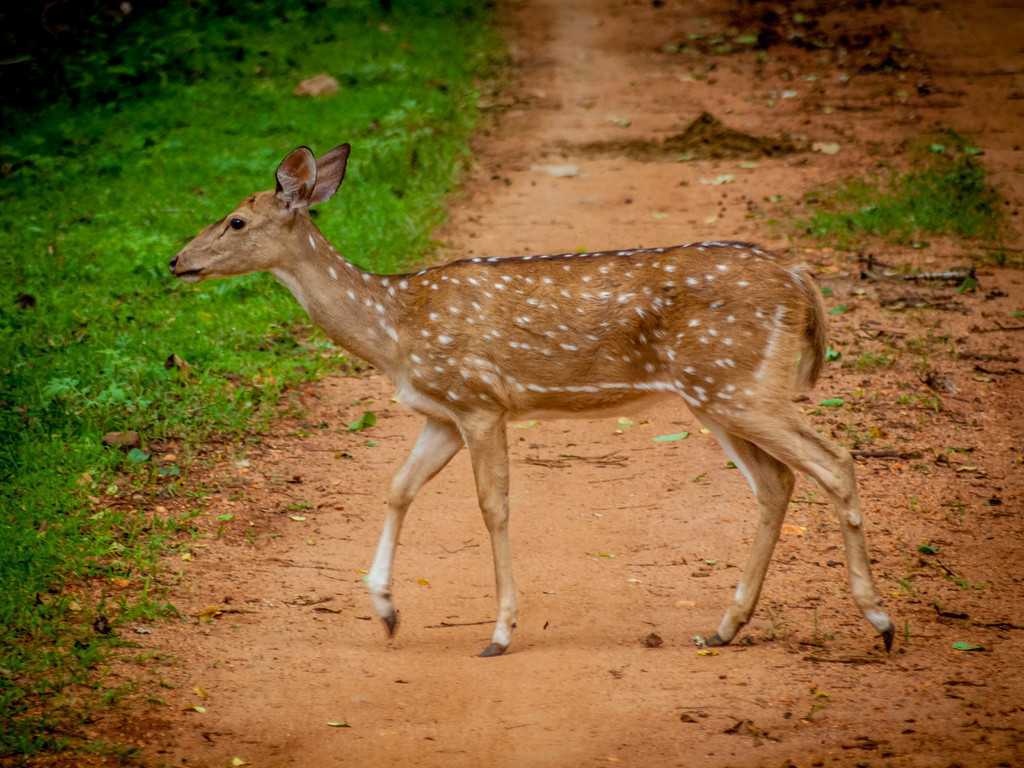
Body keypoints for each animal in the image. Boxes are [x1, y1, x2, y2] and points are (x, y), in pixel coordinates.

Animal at [171, 143, 895, 658]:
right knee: (776, 482)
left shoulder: (479, 399)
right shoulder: (441, 413)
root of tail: (802, 281)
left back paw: (880, 620)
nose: (176, 262)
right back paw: (724, 627)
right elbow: (398, 488)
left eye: (236, 220)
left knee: (834, 460)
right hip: (715, 394)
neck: (393, 328)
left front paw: (499, 633)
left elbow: (493, 507)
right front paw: (386, 610)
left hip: (737, 383)